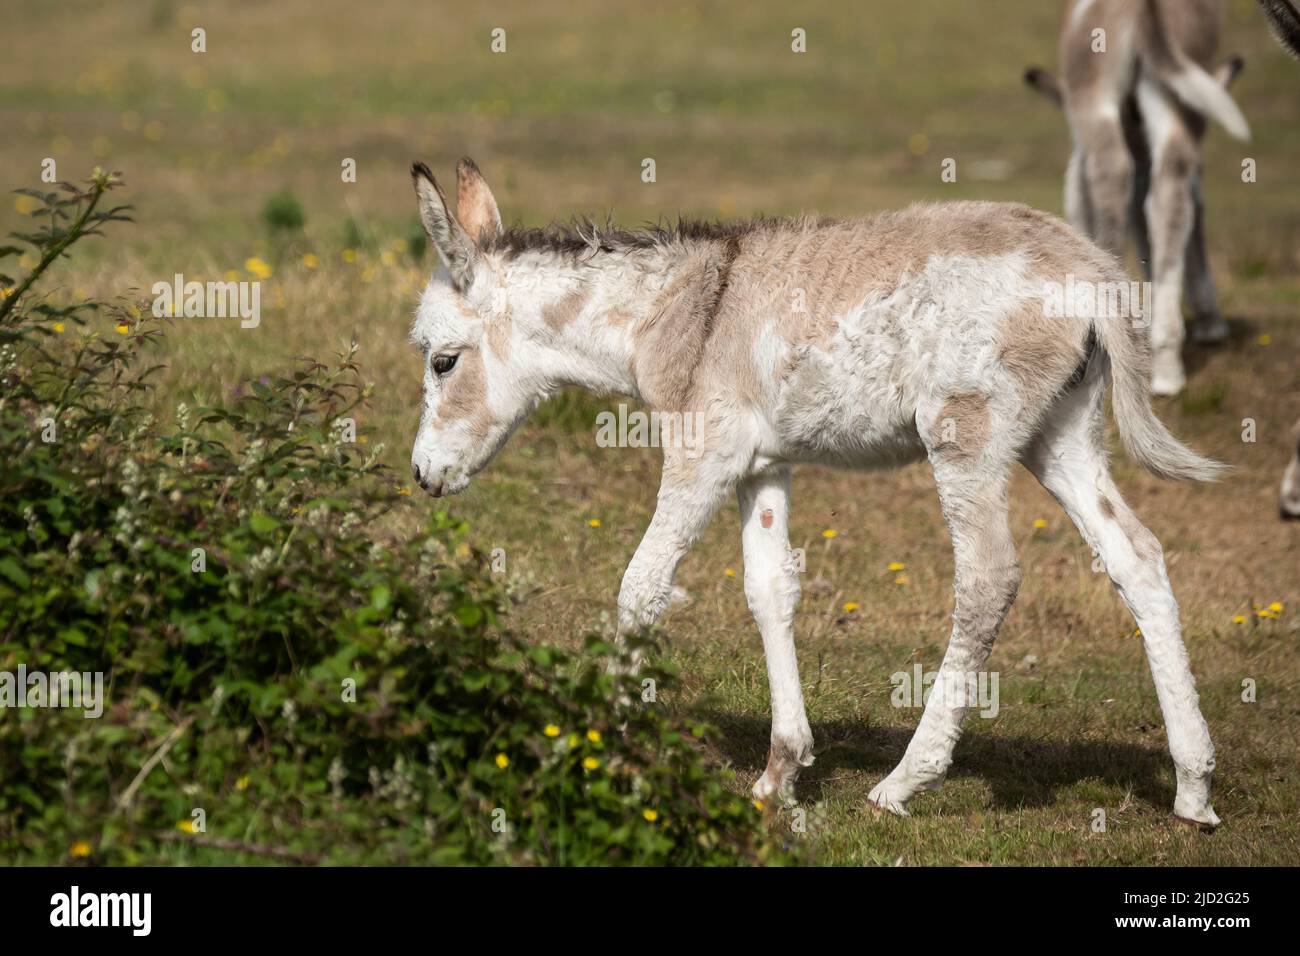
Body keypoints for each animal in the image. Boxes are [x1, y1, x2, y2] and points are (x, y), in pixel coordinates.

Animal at [408, 158, 1227, 832]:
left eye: (444, 362)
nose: (422, 476)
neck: (678, 312)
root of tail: (1090, 269)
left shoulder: (704, 454)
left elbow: (640, 586)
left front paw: (594, 748)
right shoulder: (761, 466)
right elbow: (770, 591)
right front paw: (782, 771)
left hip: (966, 435)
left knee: (989, 577)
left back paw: (905, 782)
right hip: (1060, 438)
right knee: (1138, 558)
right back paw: (1193, 789)